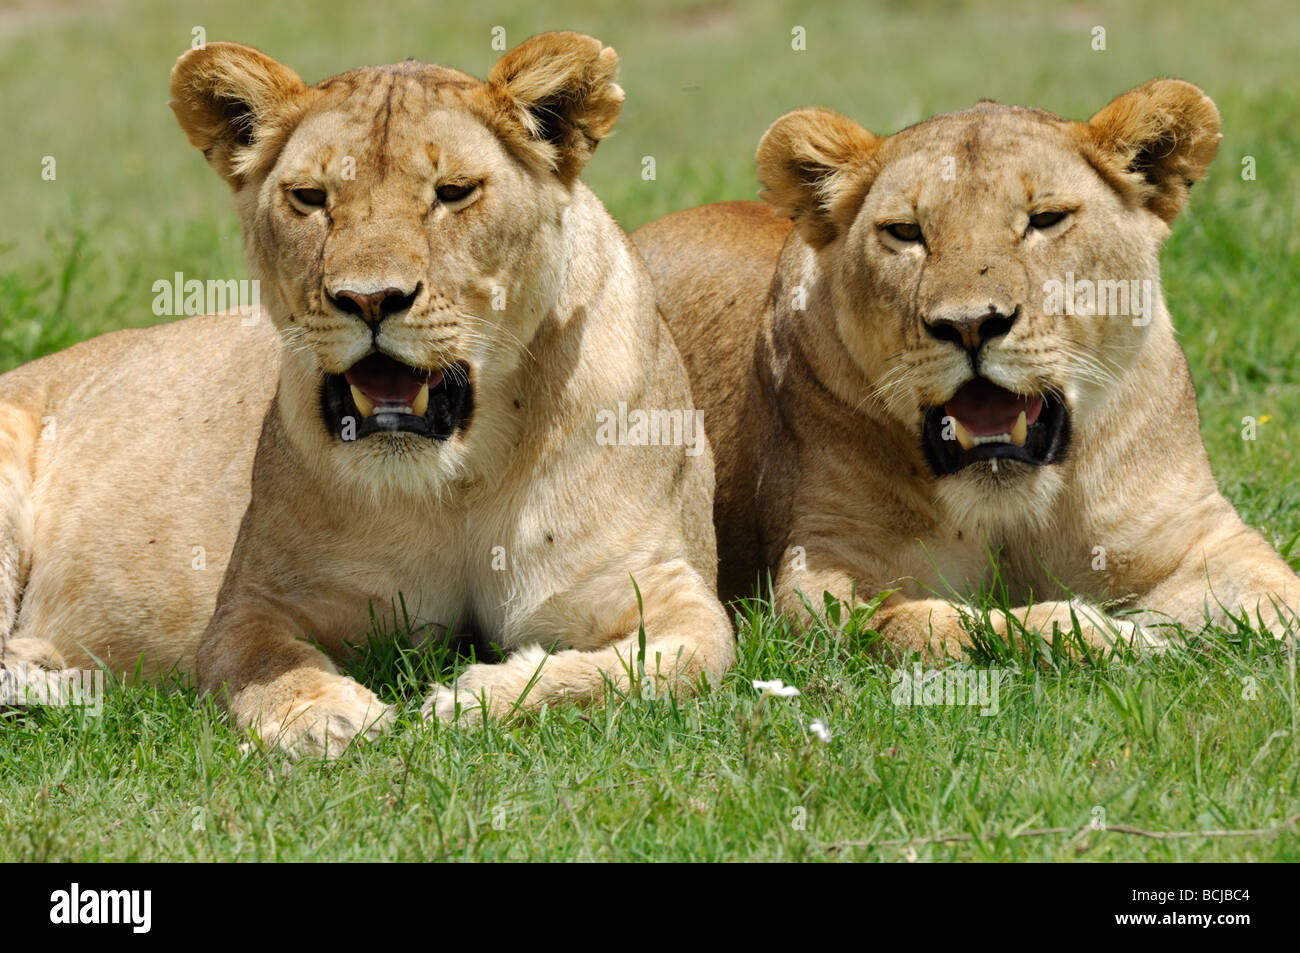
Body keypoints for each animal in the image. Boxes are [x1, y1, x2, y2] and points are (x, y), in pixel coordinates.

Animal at [0, 32, 733, 756]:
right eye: (309, 197)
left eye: (453, 192)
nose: (371, 298)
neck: (461, 477)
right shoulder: (254, 598)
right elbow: (262, 657)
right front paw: (323, 714)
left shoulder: (662, 583)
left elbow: (683, 661)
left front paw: (475, 698)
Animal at [633, 79, 1299, 656]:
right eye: (905, 232)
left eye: (1045, 219)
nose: (971, 324)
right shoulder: (821, 571)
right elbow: (947, 627)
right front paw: (1116, 635)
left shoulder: (1199, 534)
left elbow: (1280, 596)